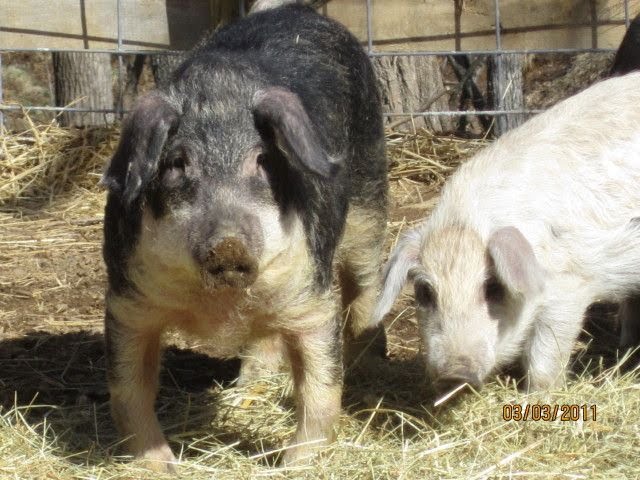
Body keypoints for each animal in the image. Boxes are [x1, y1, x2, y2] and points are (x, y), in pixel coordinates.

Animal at [101, 3, 388, 472]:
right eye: (177, 163)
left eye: (263, 161)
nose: (229, 242)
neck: (220, 306)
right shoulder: (128, 300)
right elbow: (129, 390)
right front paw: (162, 466)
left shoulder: (311, 298)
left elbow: (322, 387)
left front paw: (296, 466)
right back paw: (249, 381)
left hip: (370, 200)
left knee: (366, 284)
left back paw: (371, 363)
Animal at [372, 72, 640, 394]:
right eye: (425, 292)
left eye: (492, 287)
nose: (455, 374)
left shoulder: (570, 287)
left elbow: (545, 359)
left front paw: (535, 395)